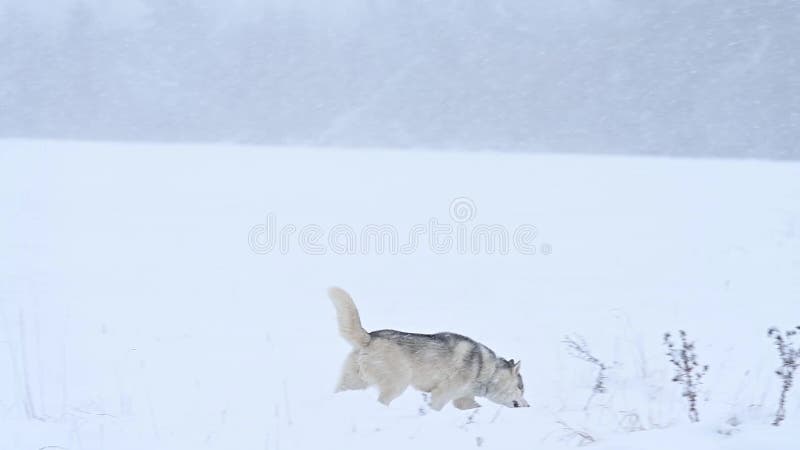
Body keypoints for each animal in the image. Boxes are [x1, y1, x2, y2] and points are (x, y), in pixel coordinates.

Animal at [328, 287, 530, 411]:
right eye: (521, 389)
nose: (528, 406)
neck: (484, 370)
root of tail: (369, 337)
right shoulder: (440, 395)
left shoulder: (463, 400)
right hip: (399, 384)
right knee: (383, 401)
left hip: (353, 383)